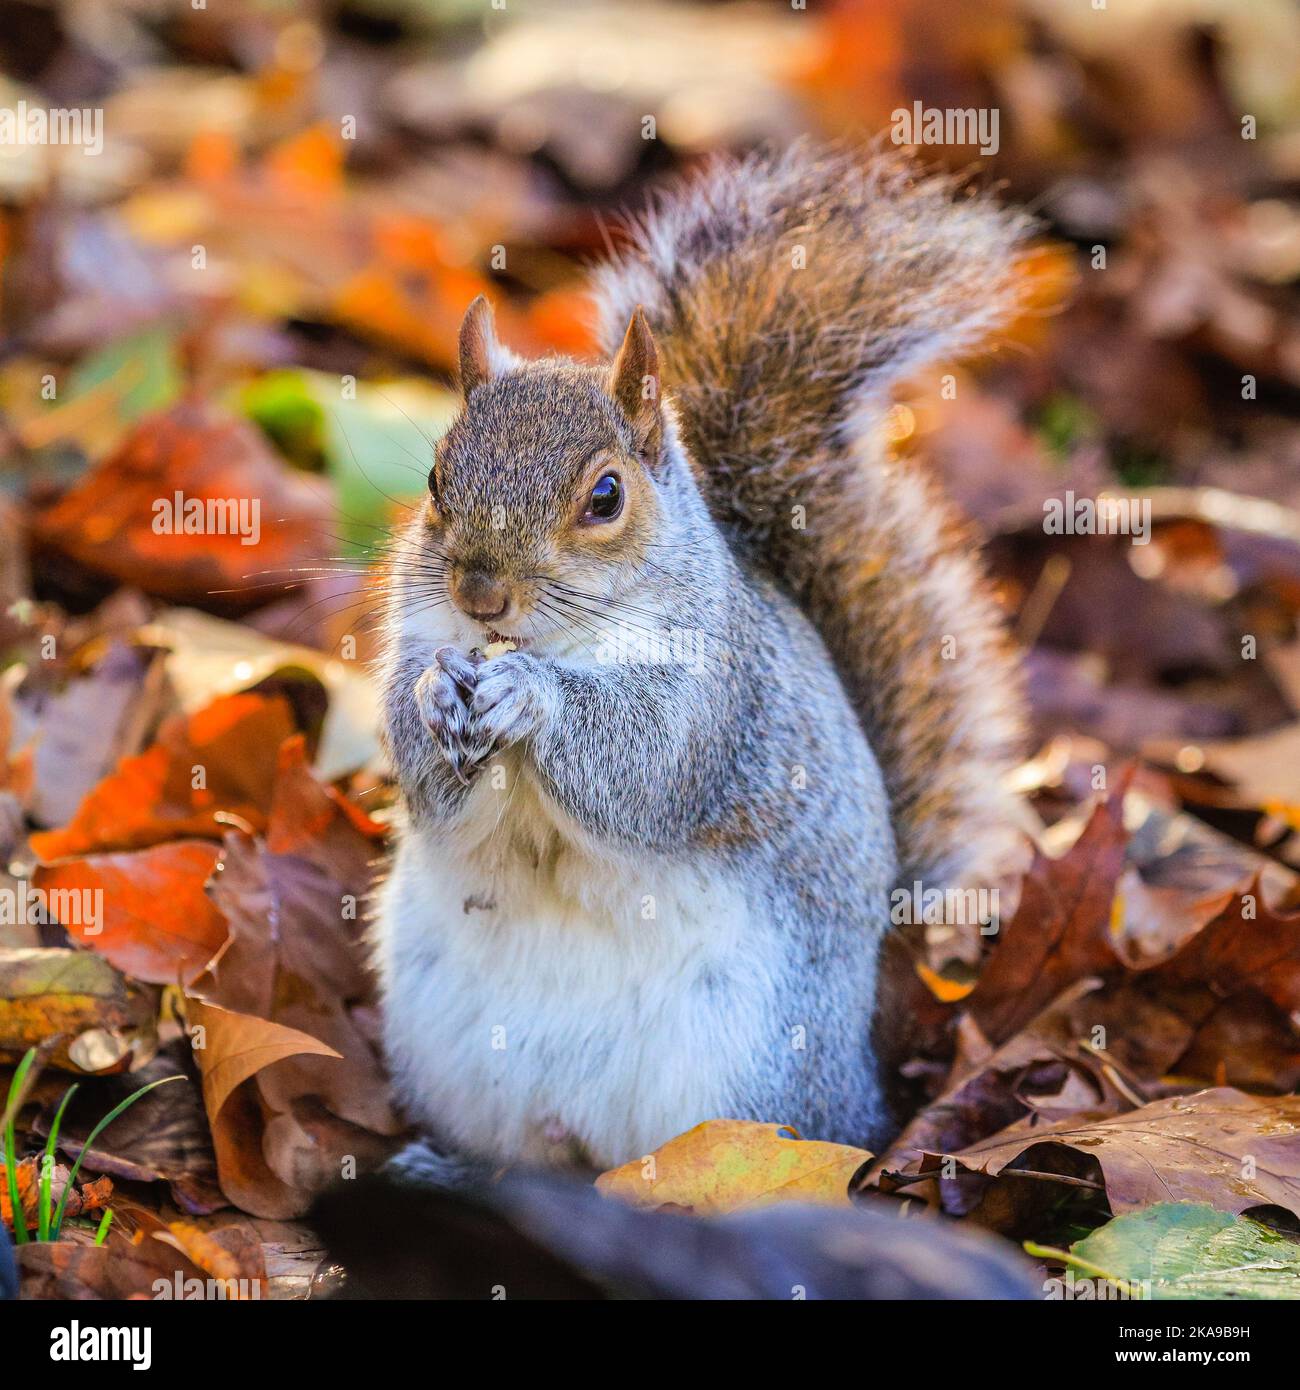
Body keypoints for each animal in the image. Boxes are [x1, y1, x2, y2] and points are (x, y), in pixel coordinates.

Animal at [372, 144, 1030, 1171]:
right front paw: (438, 695)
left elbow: (643, 766)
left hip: (748, 1062)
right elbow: (430, 783)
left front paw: (531, 695)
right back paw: (445, 1165)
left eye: (606, 497)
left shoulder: (717, 695)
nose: (481, 594)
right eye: (438, 479)